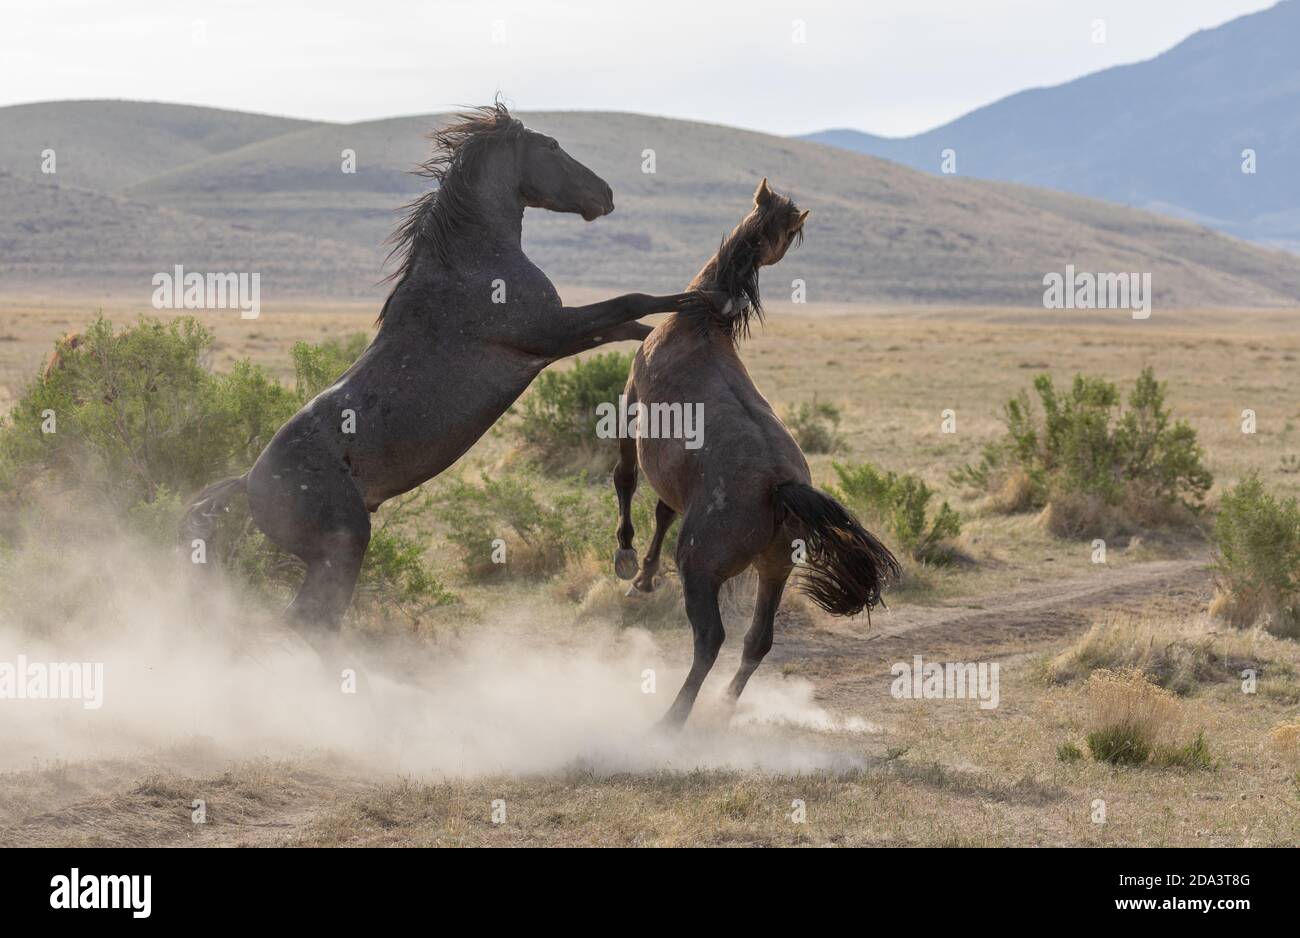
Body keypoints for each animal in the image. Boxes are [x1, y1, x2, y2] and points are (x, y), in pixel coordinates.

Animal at [181, 102, 712, 633]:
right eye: (552, 146)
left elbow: (634, 328)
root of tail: (248, 484)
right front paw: (702, 300)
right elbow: (632, 301)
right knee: (309, 621)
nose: (605, 195)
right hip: (343, 547)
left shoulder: (559, 337)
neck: (472, 262)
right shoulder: (550, 333)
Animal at [612, 178, 900, 728]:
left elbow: (626, 481)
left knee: (711, 640)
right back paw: (723, 709)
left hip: (701, 570)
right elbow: (662, 509)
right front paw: (643, 577)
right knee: (757, 641)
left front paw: (626, 557)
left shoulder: (630, 402)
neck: (700, 323)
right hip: (775, 569)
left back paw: (672, 720)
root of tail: (780, 487)